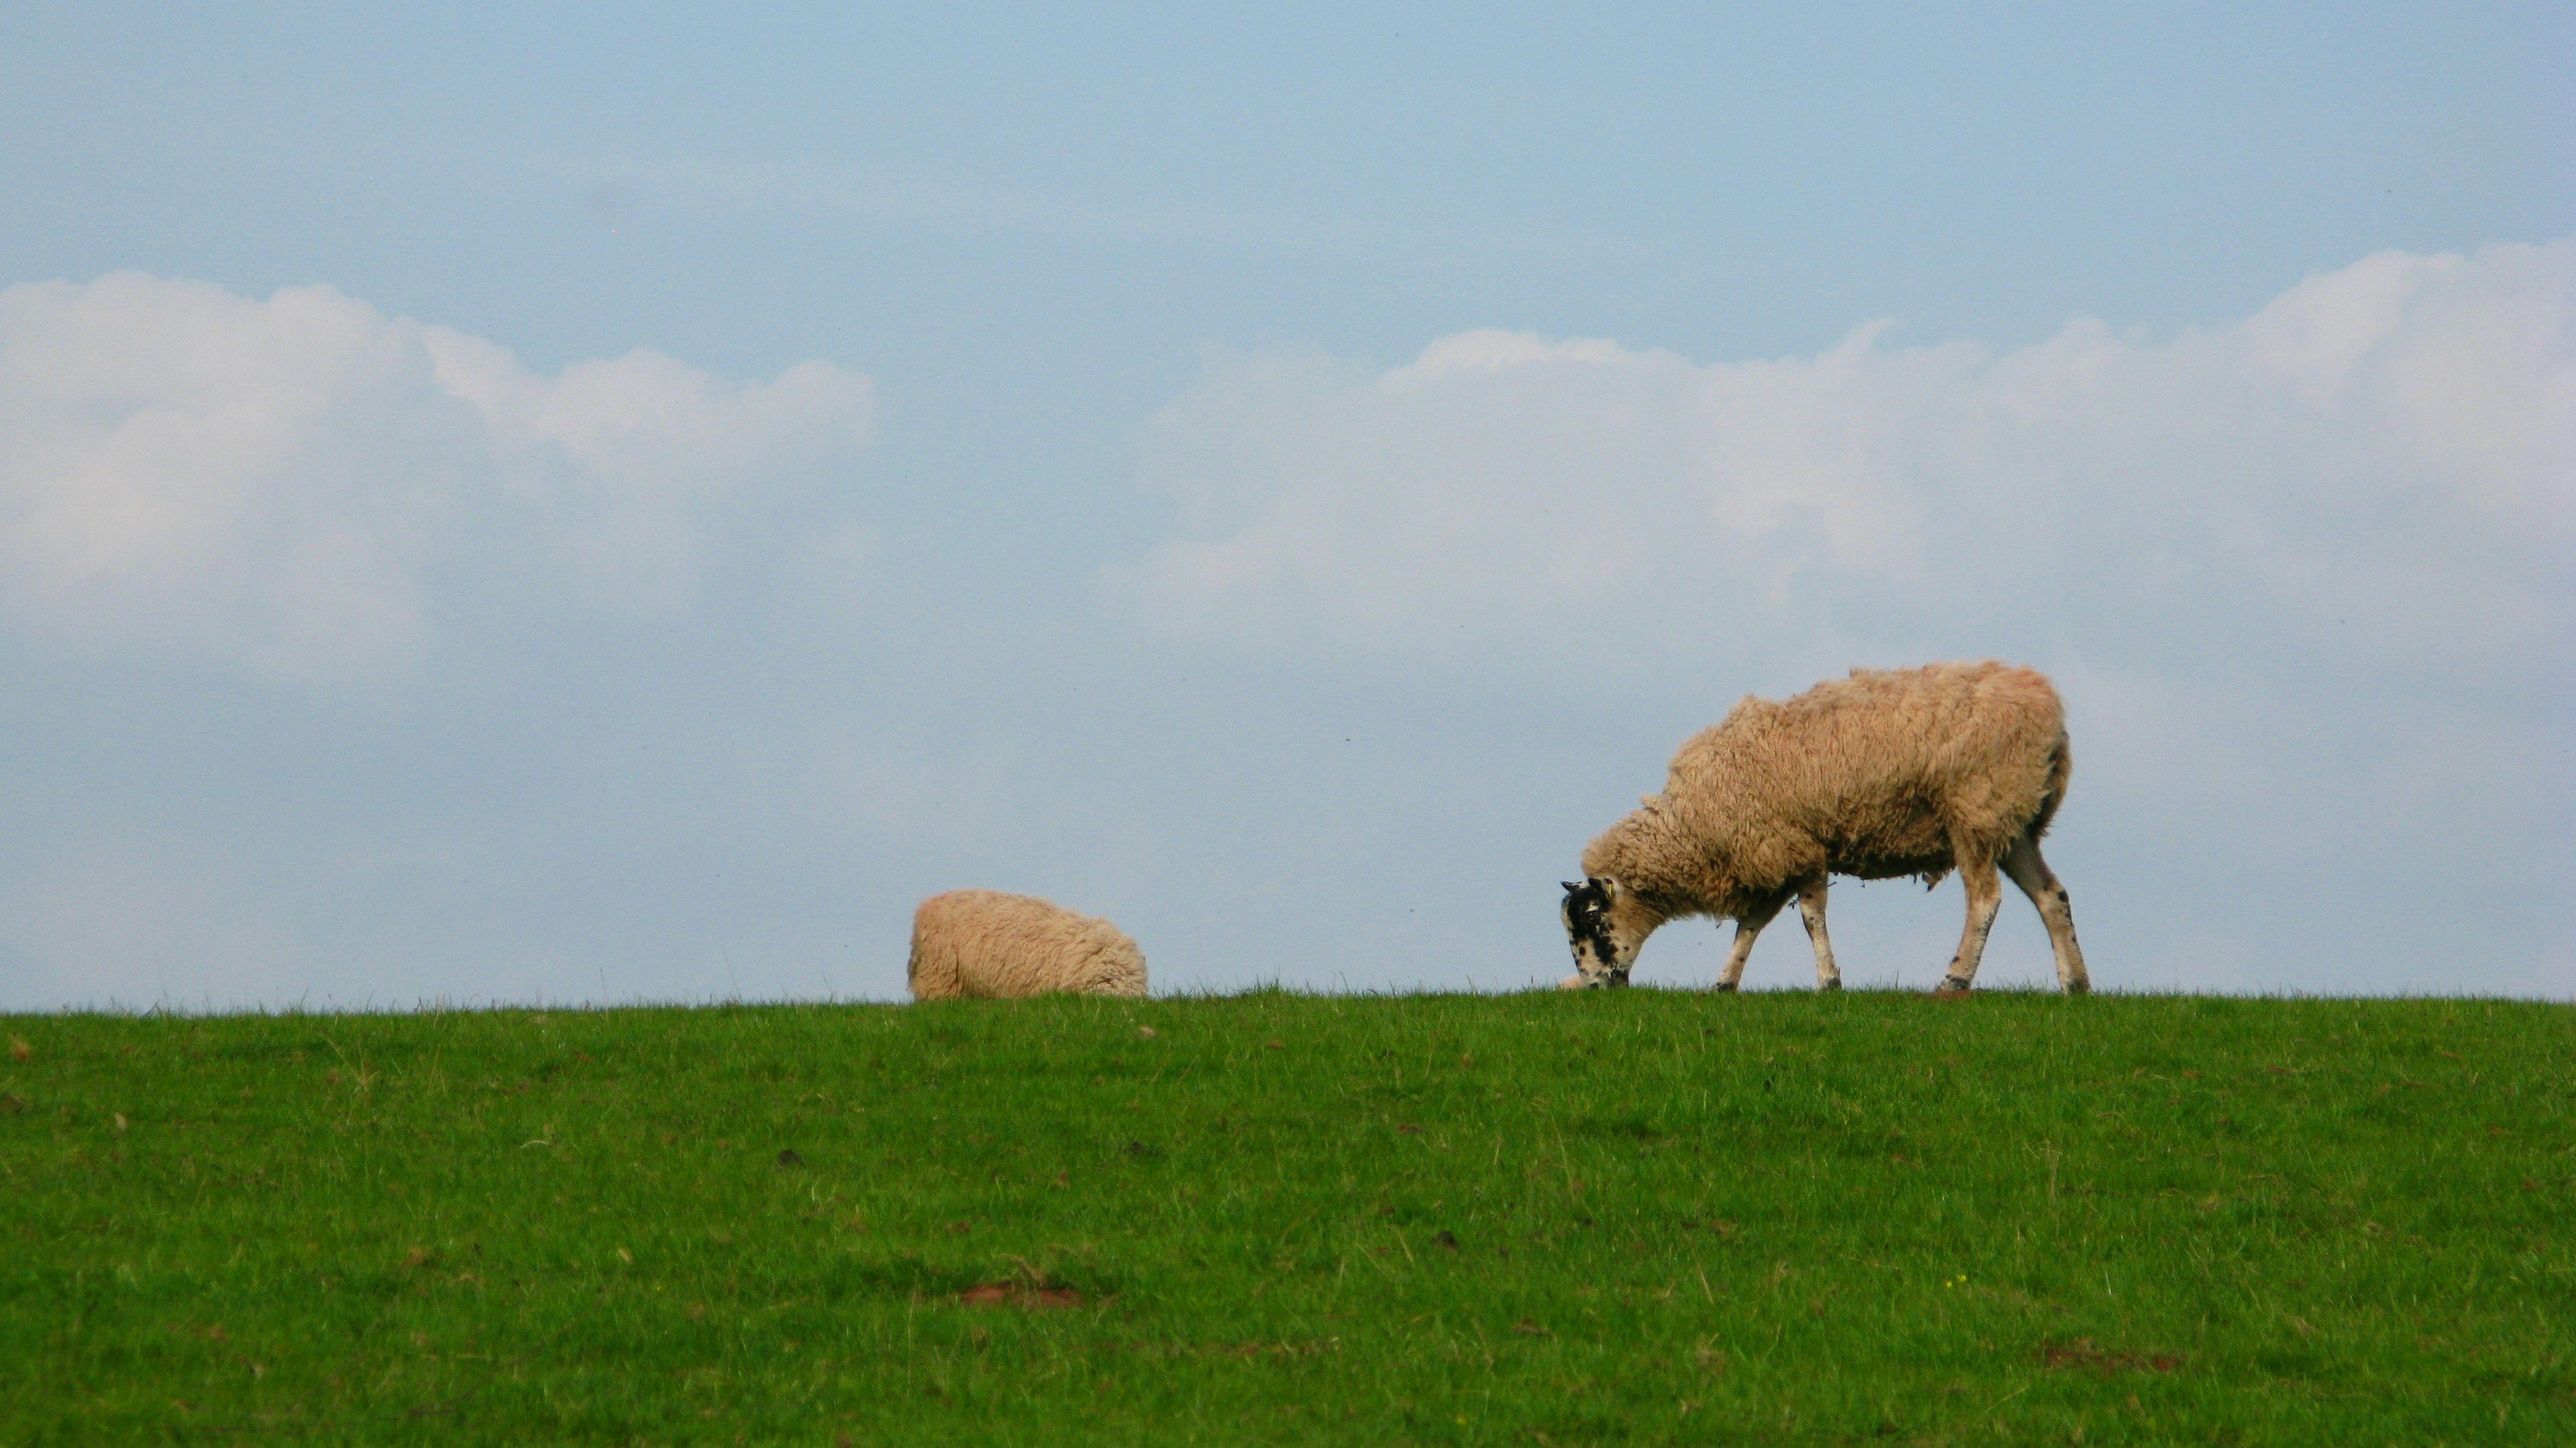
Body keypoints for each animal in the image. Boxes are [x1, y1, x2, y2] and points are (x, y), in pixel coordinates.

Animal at [1559, 661, 2090, 995]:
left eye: (1591, 921)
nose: (1594, 986)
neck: (1693, 826)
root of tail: (2049, 712)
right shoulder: (1773, 853)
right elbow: (1751, 926)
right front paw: (1724, 983)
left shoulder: (1799, 849)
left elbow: (1810, 919)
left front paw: (1829, 982)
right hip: (2013, 824)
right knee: (2052, 897)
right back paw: (2076, 984)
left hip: (1975, 813)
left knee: (1985, 901)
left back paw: (1955, 980)